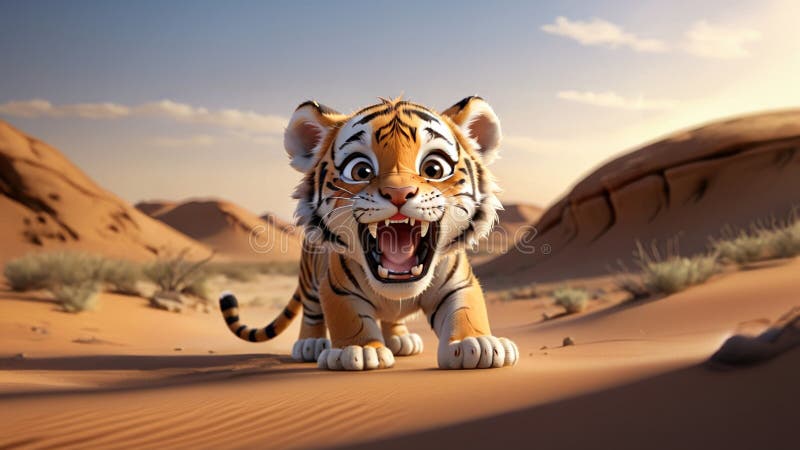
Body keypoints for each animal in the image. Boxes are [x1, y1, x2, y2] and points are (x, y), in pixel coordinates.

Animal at [219, 96, 518, 370]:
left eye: (433, 168)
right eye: (361, 170)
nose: (399, 193)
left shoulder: (458, 283)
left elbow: (466, 309)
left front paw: (475, 344)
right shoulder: (336, 288)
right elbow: (348, 317)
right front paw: (359, 351)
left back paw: (401, 340)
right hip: (309, 278)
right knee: (312, 311)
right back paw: (310, 344)